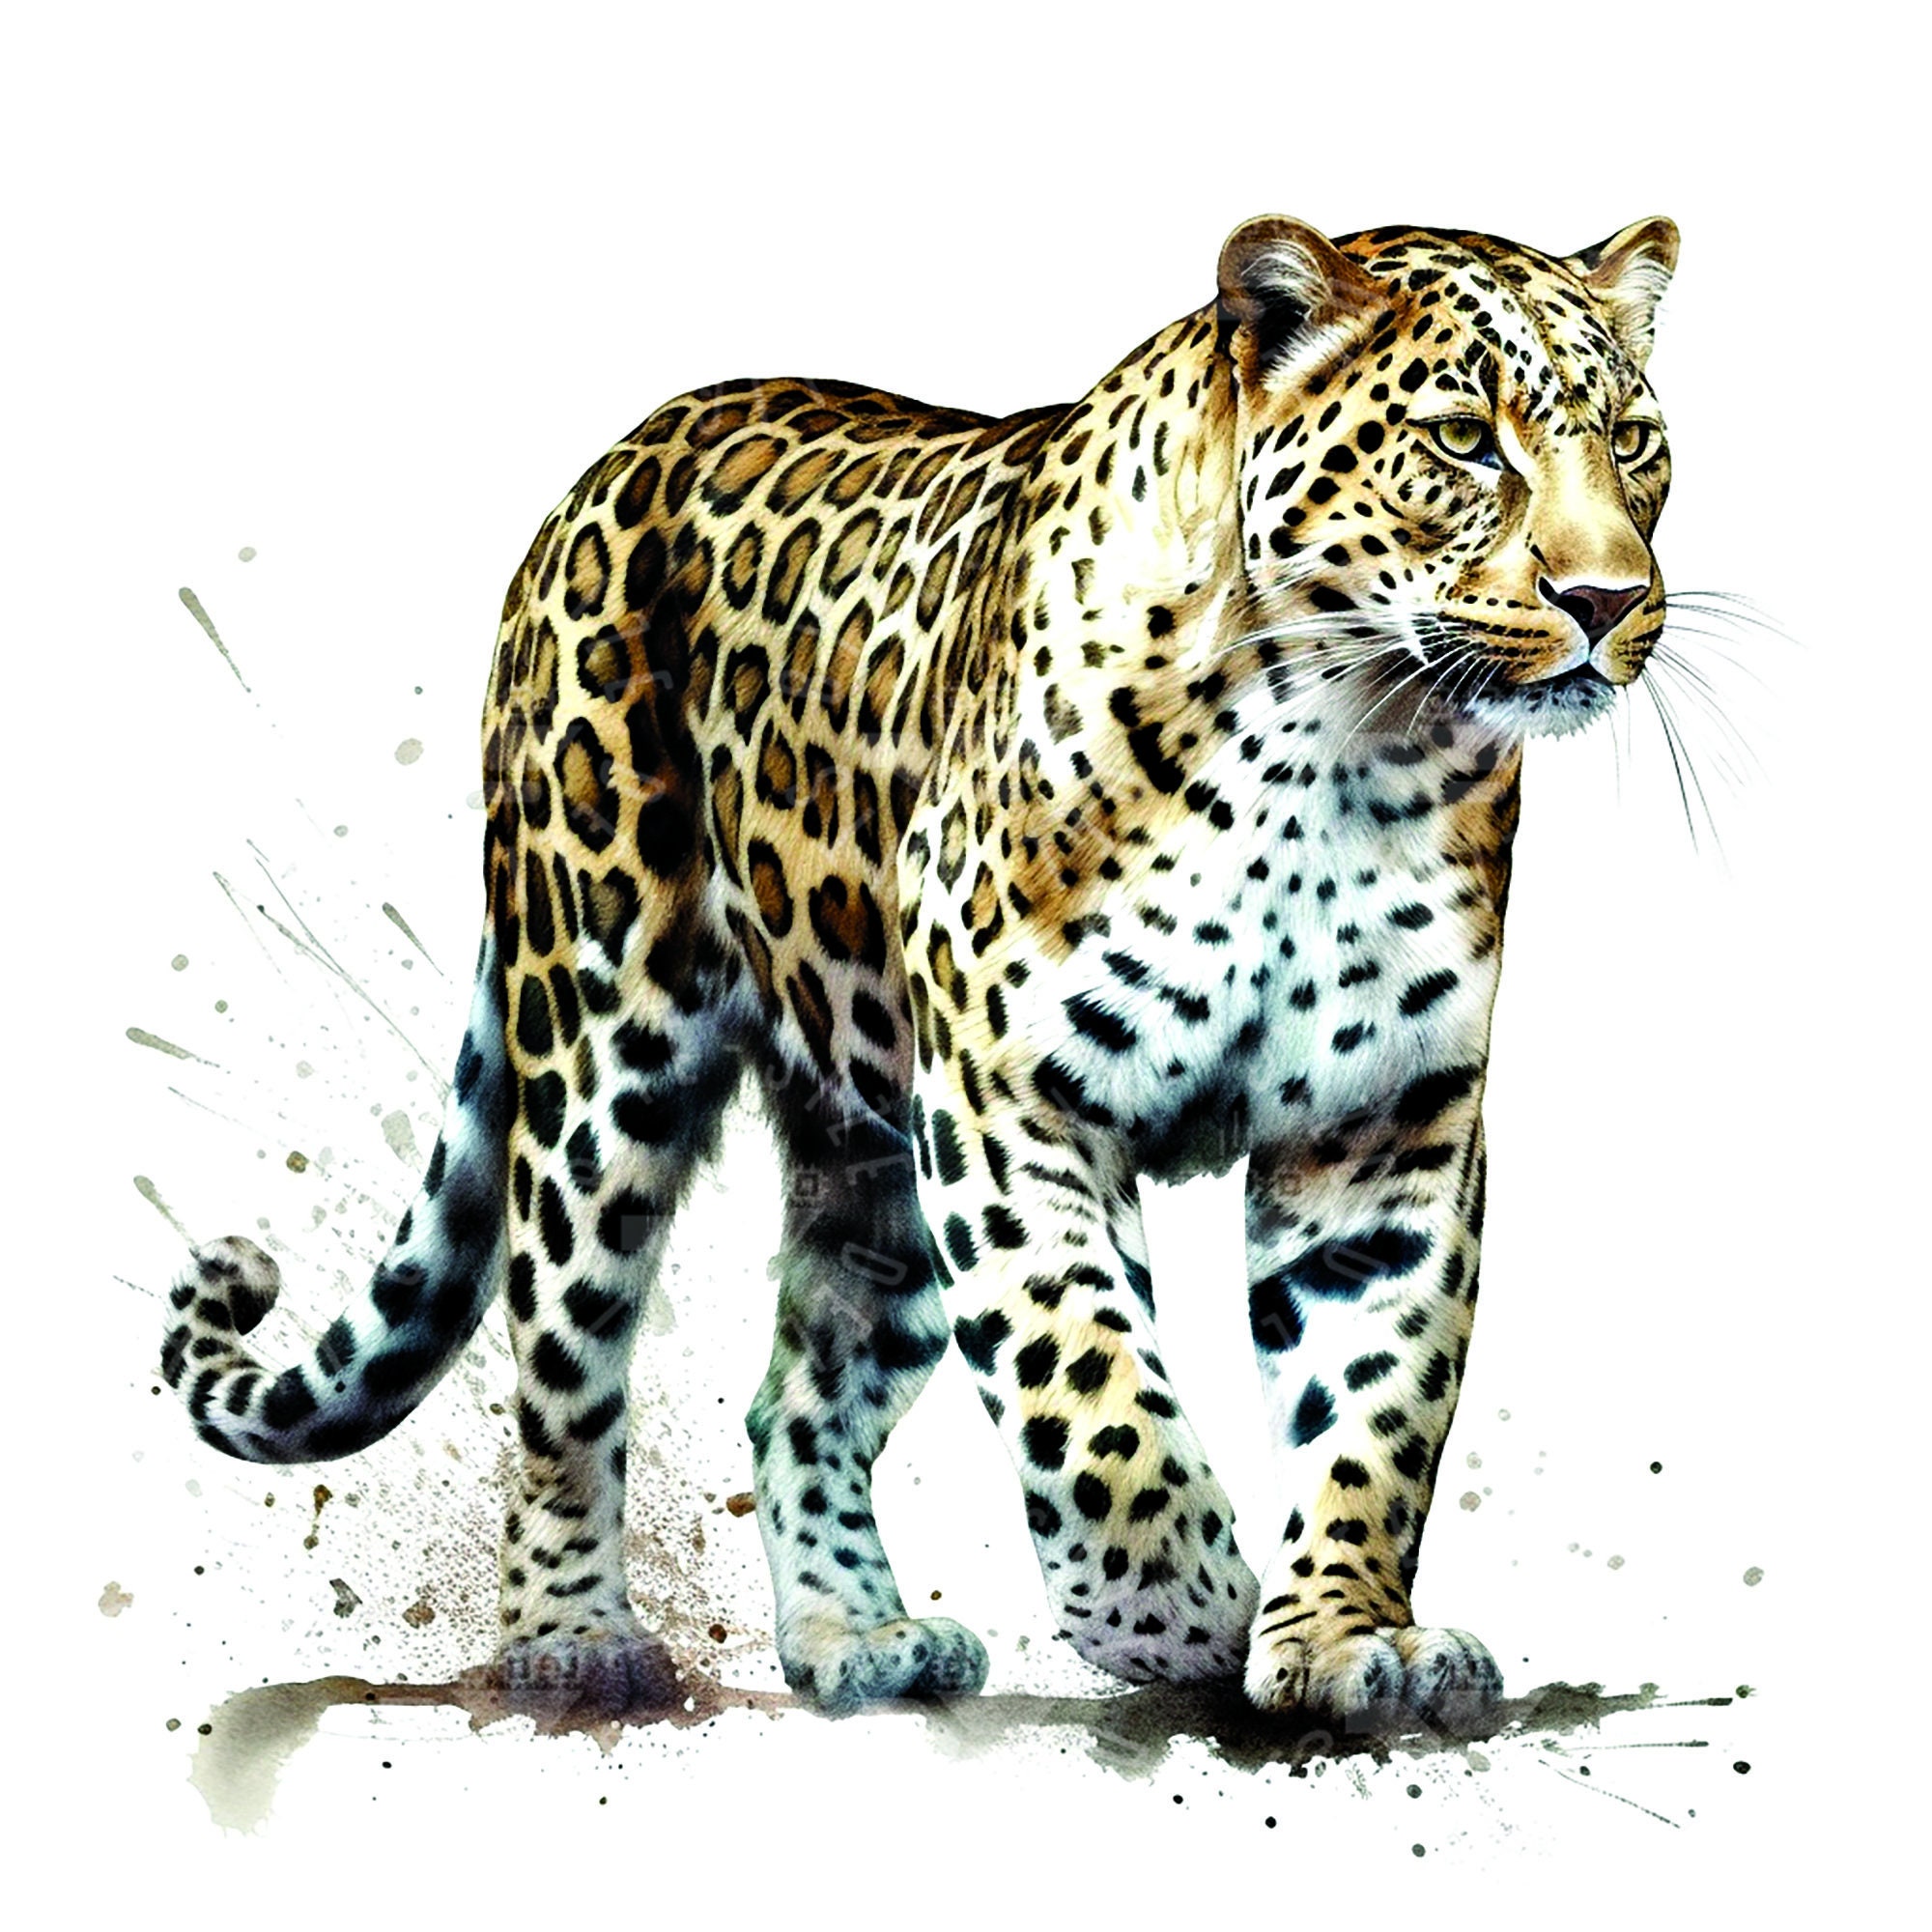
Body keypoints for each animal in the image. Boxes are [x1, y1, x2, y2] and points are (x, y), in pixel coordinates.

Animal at [160, 211, 1680, 1731]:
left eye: (1635, 440)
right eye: (1464, 440)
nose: (1606, 599)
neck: (1349, 745)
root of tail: (615, 461)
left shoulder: (1382, 1130)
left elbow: (1375, 1399)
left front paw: (1348, 1638)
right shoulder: (1016, 1099)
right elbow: (1092, 1388)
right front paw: (1183, 1613)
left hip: (870, 1146)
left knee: (797, 1395)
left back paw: (859, 1638)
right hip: (603, 1044)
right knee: (558, 1363)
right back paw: (574, 1639)